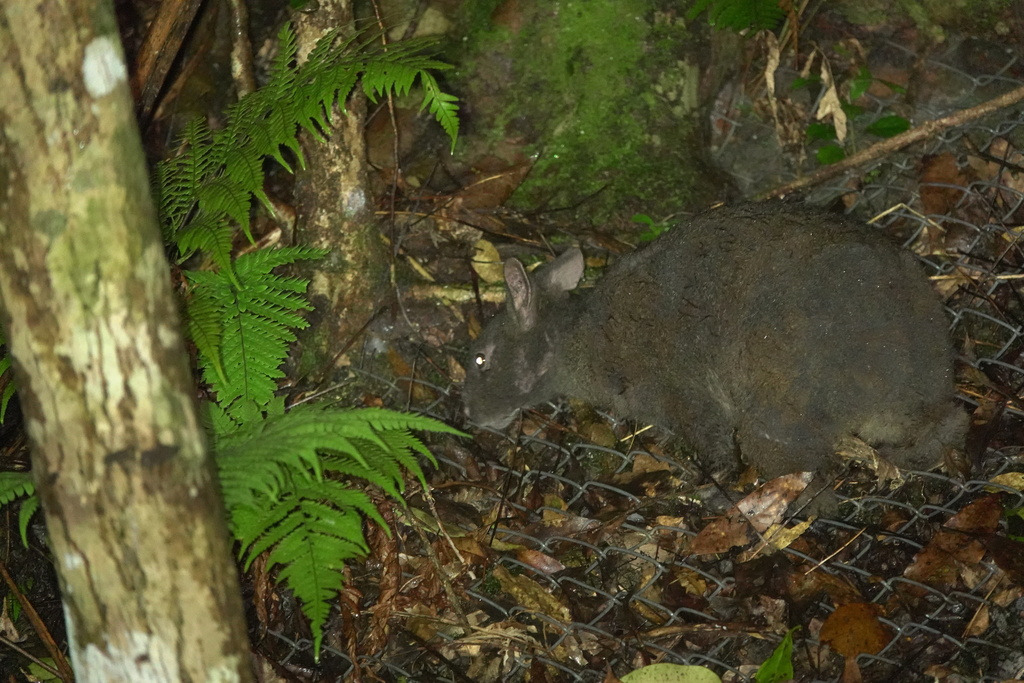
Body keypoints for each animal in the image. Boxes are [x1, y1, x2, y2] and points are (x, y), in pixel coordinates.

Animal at [462, 203, 968, 512]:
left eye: (481, 359)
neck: (583, 337)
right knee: (949, 425)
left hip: (774, 420)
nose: (468, 415)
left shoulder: (688, 398)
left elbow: (720, 458)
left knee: (816, 486)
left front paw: (694, 488)